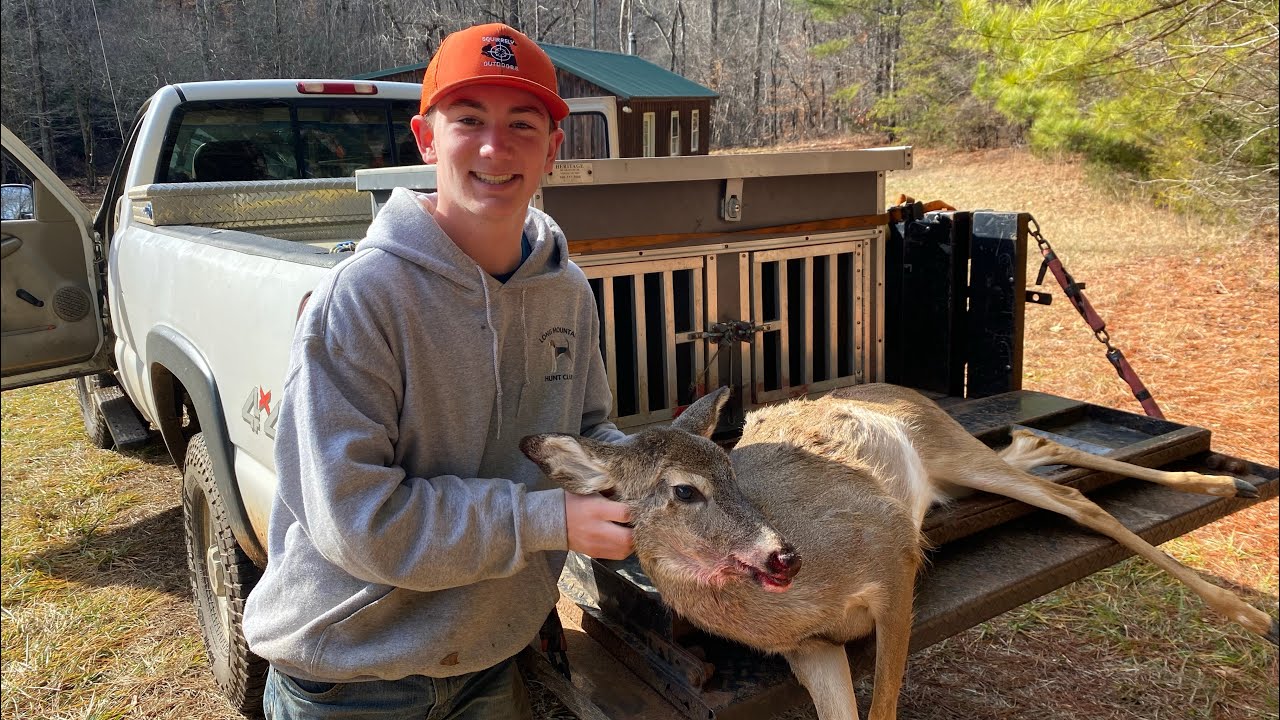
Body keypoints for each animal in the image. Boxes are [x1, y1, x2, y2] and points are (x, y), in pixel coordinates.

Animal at [521, 383, 1278, 720]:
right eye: (683, 491)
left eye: (732, 470)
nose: (784, 556)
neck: (793, 606)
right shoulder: (811, 649)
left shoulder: (892, 557)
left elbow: (884, 706)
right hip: (951, 472)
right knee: (1036, 444)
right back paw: (1224, 484)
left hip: (945, 449)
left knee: (1075, 498)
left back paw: (1248, 597)